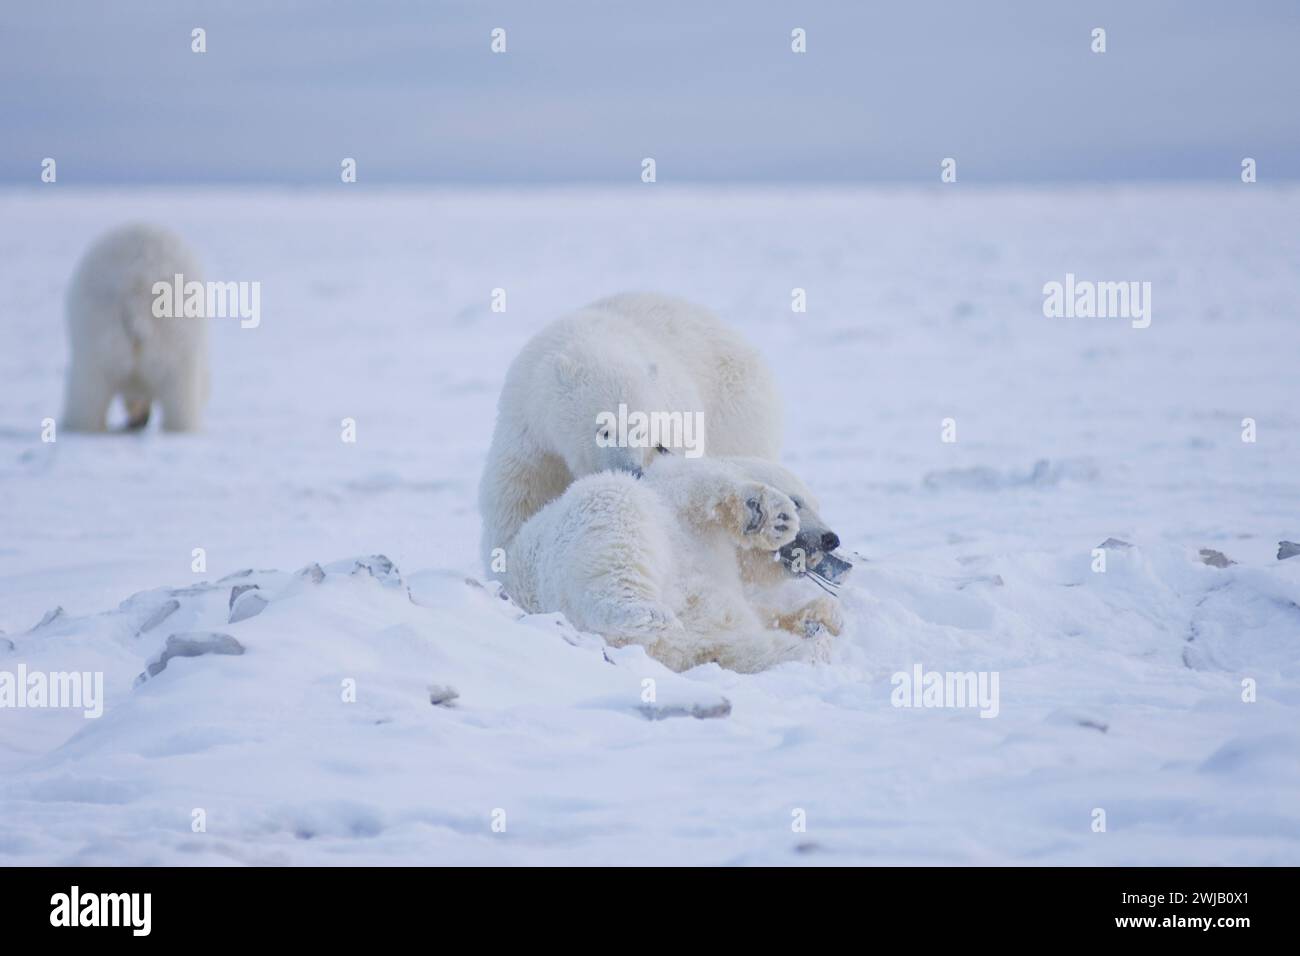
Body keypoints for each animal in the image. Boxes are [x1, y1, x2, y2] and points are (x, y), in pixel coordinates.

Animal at [478, 292, 782, 577]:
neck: (591, 341)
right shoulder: (532, 435)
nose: (632, 469)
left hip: (733, 411)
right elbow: (519, 500)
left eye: (641, 429)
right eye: (605, 431)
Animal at [502, 453, 844, 673]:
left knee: (746, 646)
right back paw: (645, 613)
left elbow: (759, 615)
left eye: (817, 505)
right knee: (614, 541)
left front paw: (824, 617)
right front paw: (768, 515)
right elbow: (704, 486)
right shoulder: (675, 495)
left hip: (700, 642)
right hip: (586, 538)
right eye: (798, 501)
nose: (831, 538)